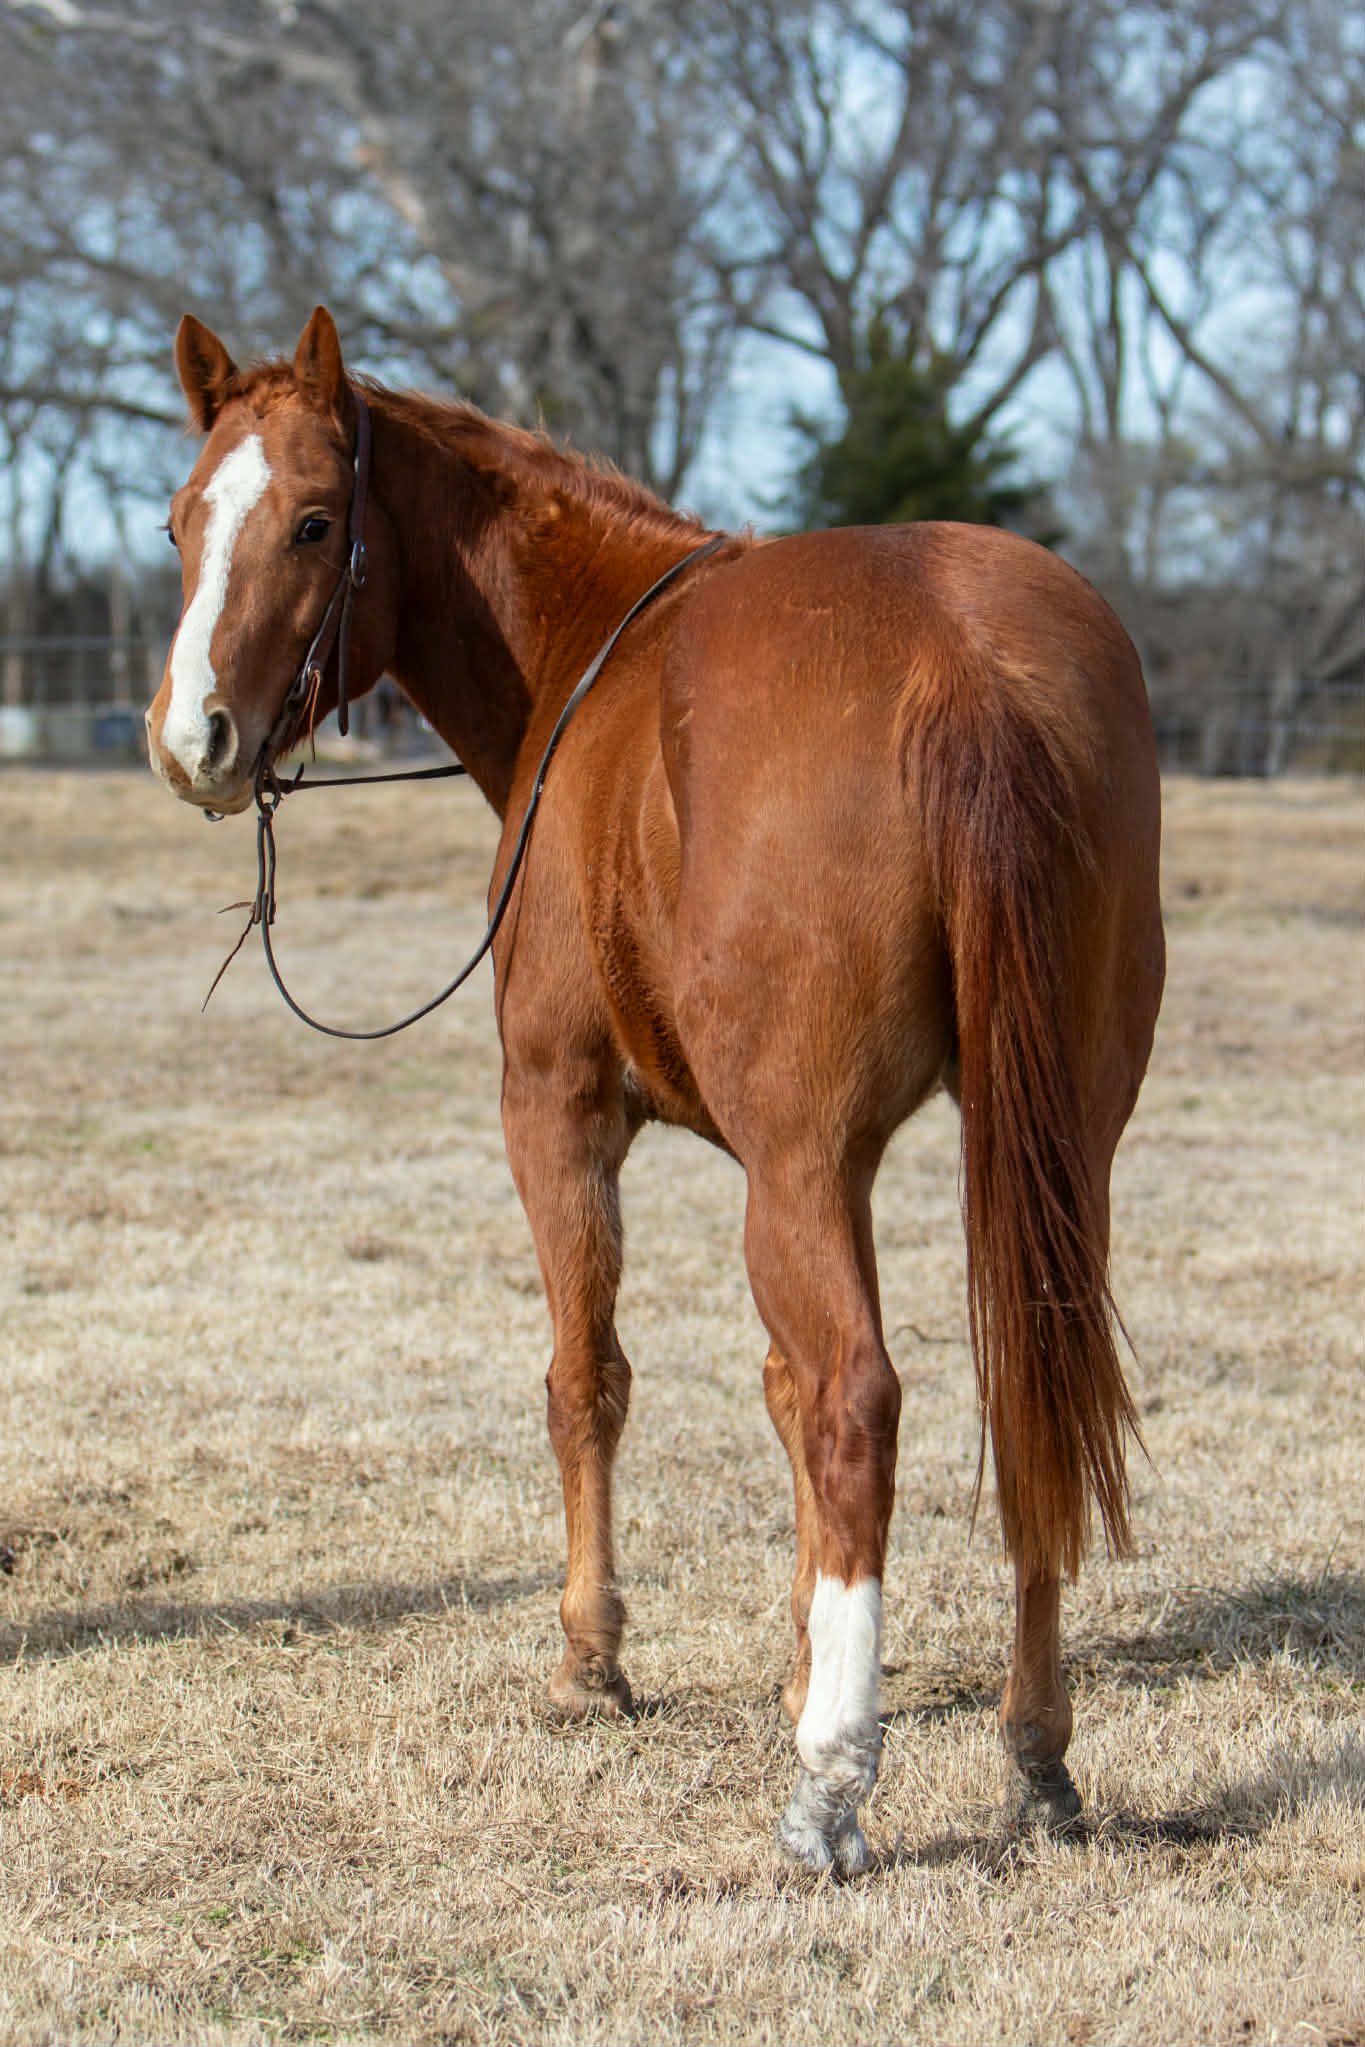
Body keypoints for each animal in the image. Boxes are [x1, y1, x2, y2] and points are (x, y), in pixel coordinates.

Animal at [146, 306, 1165, 1875]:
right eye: (183, 520)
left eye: (315, 521)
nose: (190, 735)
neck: (594, 663)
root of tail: (964, 661)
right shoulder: (835, 1163)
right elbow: (778, 1391)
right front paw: (805, 1656)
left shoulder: (564, 1114)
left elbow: (593, 1381)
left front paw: (595, 1656)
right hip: (1054, 1148)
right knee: (1024, 1389)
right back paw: (1034, 1750)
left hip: (798, 1157)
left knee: (862, 1403)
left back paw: (830, 1786)